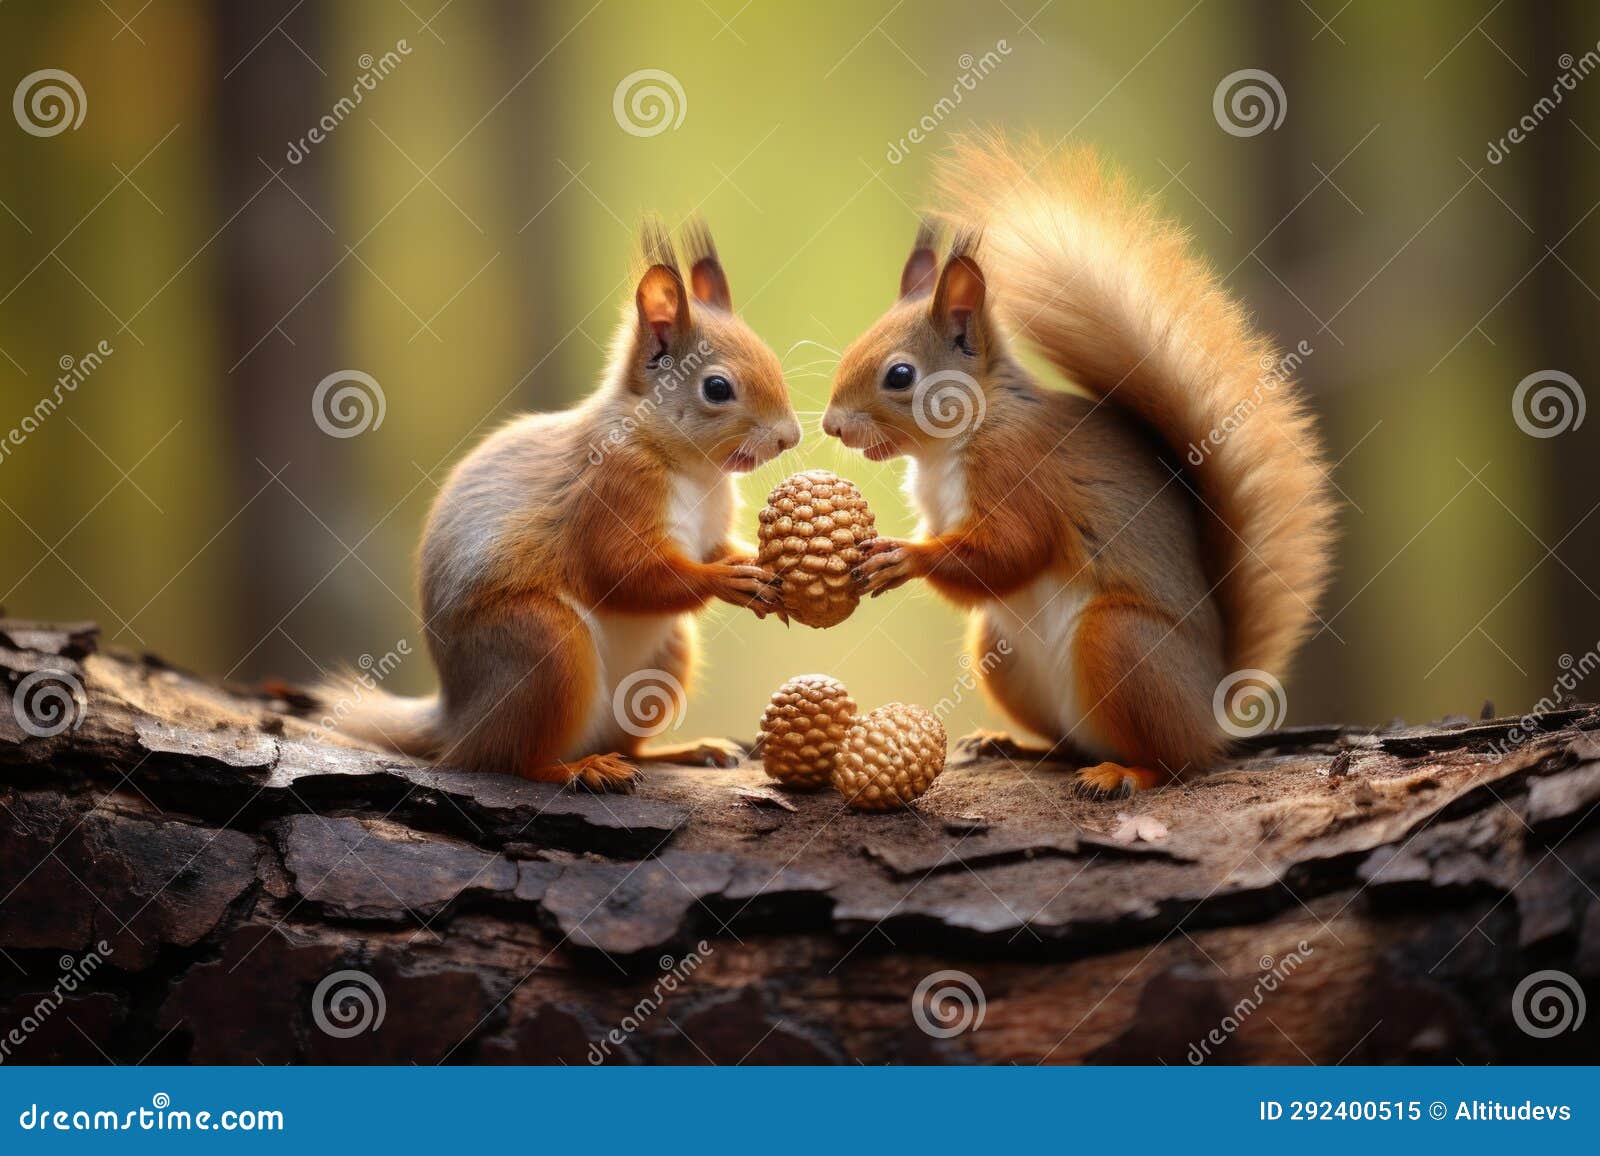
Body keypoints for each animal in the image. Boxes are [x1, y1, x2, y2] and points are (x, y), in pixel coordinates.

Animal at [317, 220, 800, 791]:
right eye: (718, 388)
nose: (790, 437)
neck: (694, 469)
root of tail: (458, 718)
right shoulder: (609, 492)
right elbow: (624, 571)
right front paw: (725, 580)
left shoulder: (708, 528)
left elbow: (715, 548)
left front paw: (754, 564)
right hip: (544, 646)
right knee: (512, 759)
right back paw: (581, 768)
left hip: (666, 658)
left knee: (629, 745)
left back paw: (682, 750)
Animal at [822, 134, 1337, 796]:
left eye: (900, 375)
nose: (832, 425)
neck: (956, 441)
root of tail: (1212, 707)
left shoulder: (1019, 470)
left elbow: (1012, 548)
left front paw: (904, 558)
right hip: (1001, 654)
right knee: (1070, 741)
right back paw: (1013, 744)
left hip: (1120, 642)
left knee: (1175, 762)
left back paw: (1124, 772)